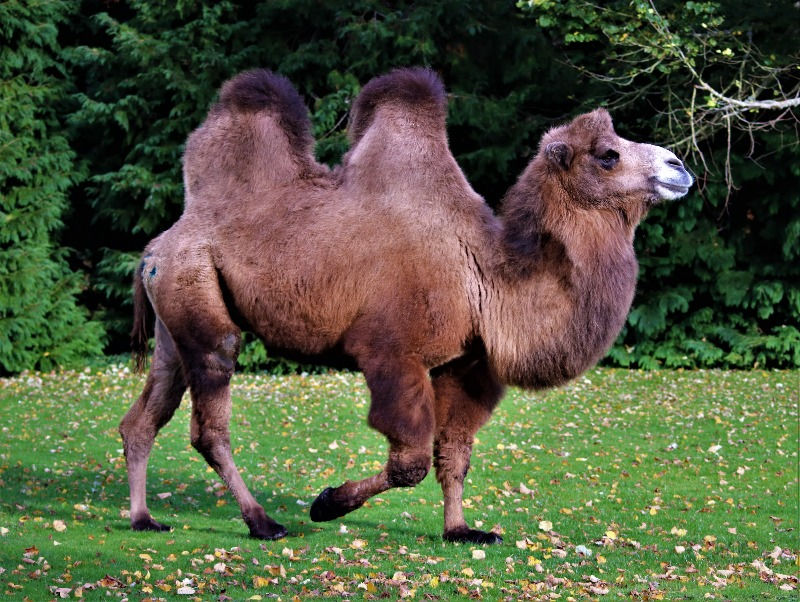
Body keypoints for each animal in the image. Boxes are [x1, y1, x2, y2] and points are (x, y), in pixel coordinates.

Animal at [120, 67, 693, 544]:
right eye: (607, 154)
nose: (680, 166)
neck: (485, 277)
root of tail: (159, 244)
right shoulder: (392, 352)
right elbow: (410, 460)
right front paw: (327, 503)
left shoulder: (467, 364)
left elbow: (454, 454)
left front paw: (461, 530)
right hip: (197, 295)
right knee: (210, 411)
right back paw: (263, 522)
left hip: (174, 317)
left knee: (145, 416)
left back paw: (144, 518)